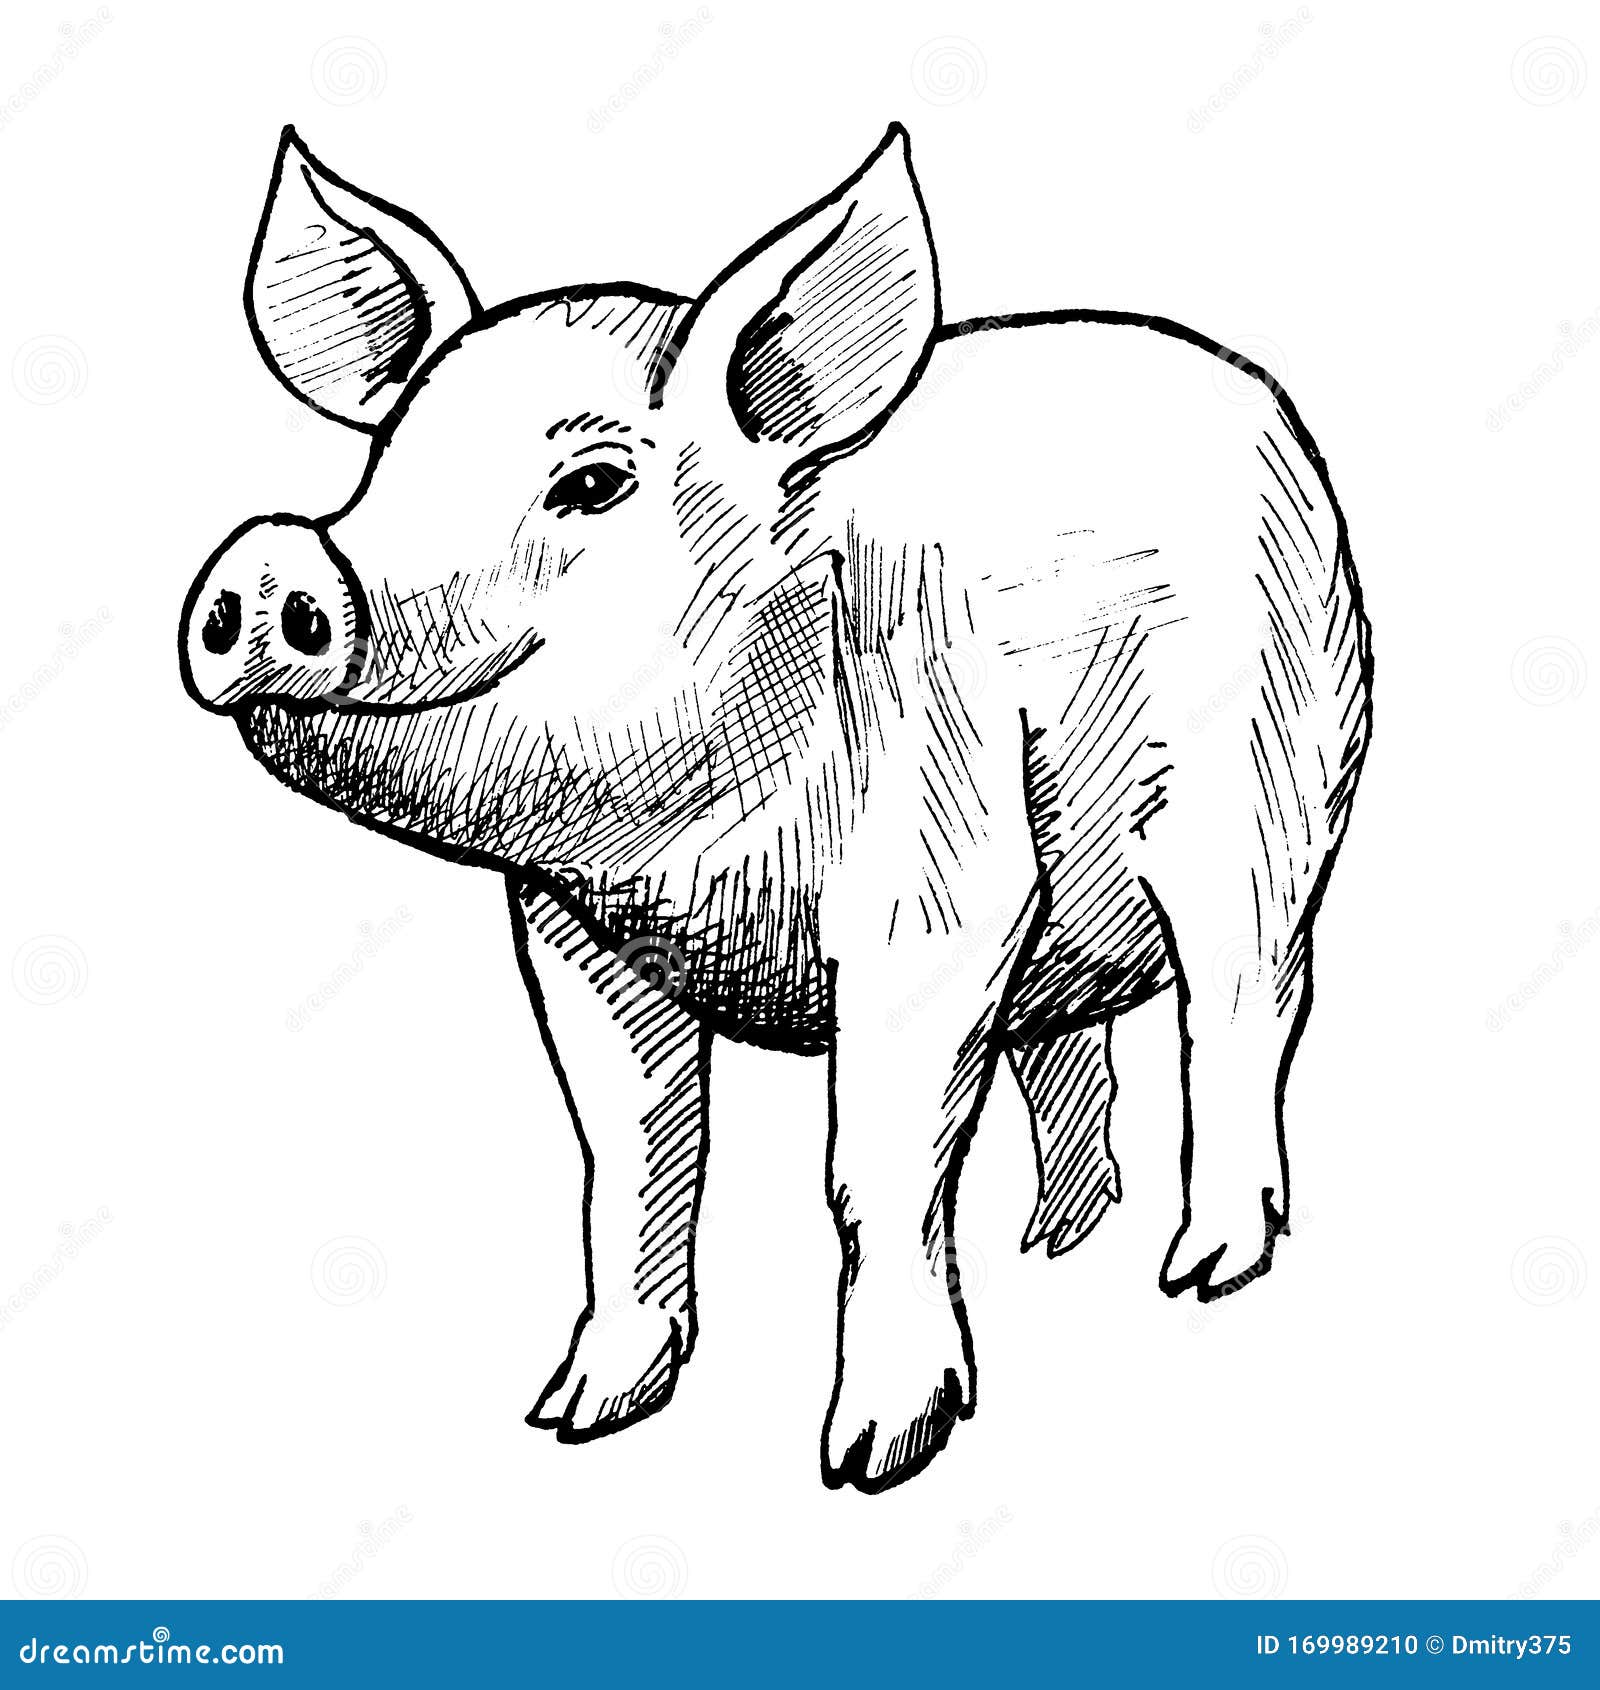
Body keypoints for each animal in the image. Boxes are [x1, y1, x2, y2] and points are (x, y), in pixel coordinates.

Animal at [179, 124, 1372, 1493]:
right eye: (383, 469)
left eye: (594, 482)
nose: (272, 556)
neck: (680, 841)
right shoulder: (572, 934)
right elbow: (631, 1153)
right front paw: (576, 1413)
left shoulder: (939, 887)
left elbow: (875, 1171)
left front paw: (869, 1457)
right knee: (1068, 1055)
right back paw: (1055, 1248)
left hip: (1270, 789)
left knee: (1245, 1002)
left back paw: (1203, 1270)